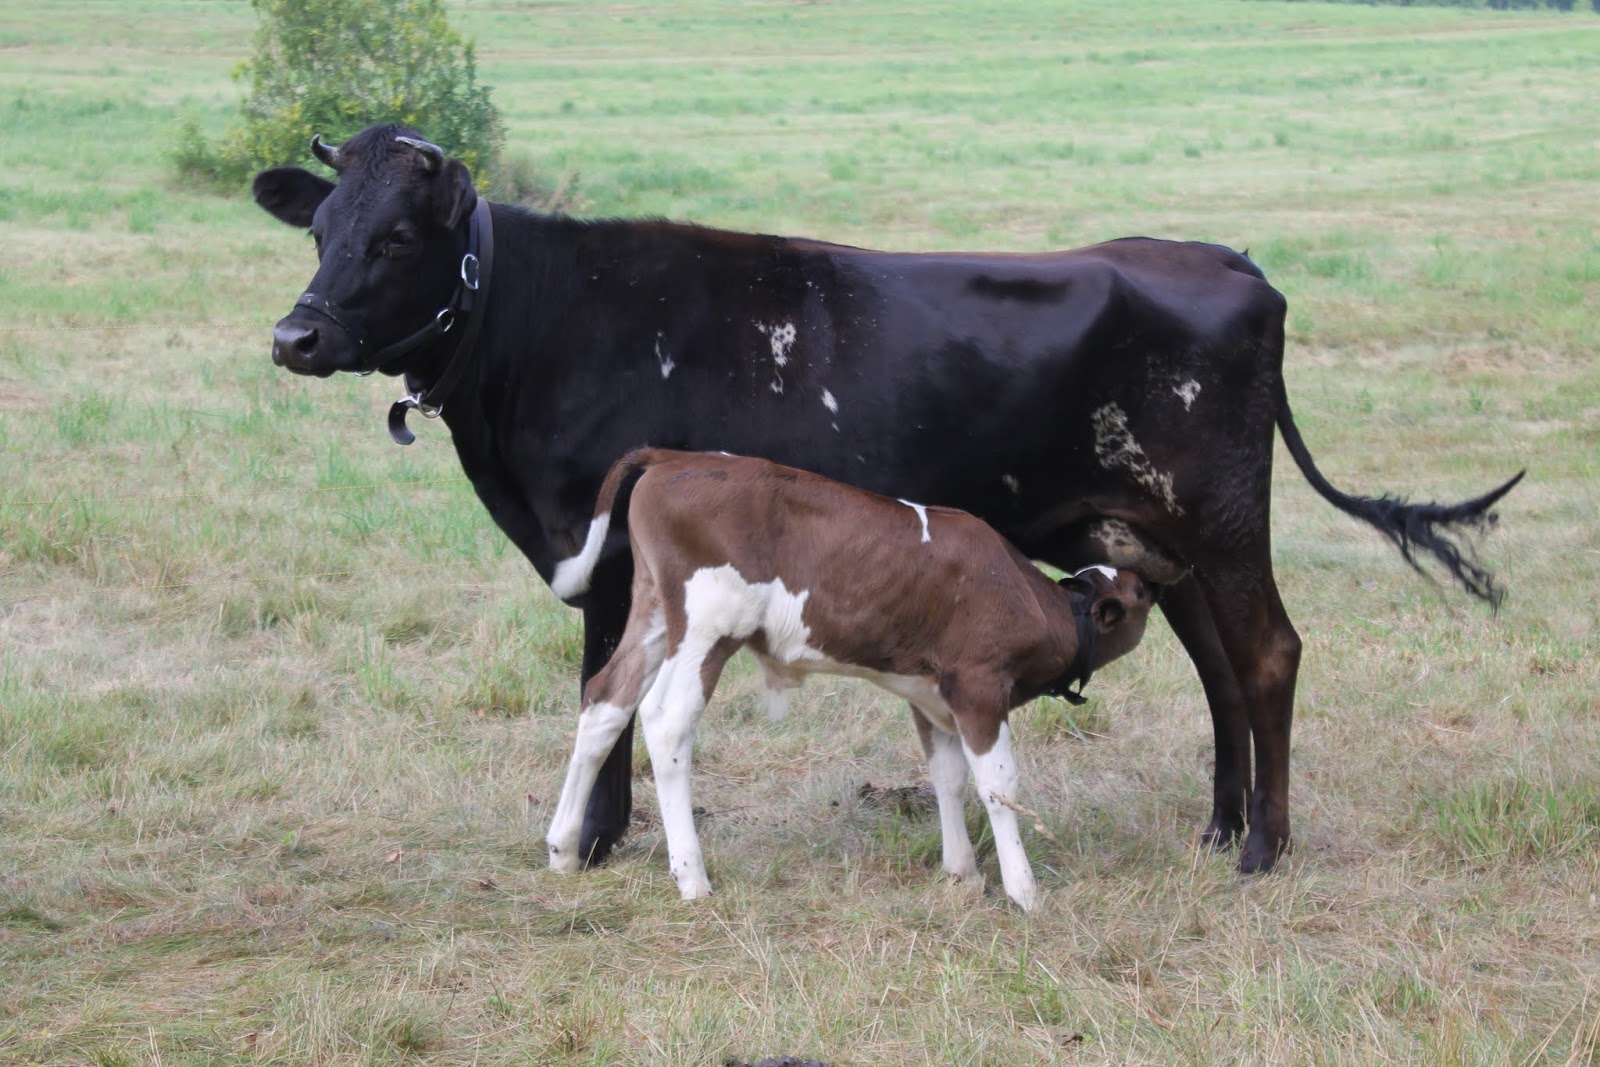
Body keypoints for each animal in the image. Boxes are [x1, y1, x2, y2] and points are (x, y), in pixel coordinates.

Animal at [546, 448, 1162, 910]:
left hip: (653, 609)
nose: (1154, 583)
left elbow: (947, 777)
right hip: (709, 622)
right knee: (666, 720)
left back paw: (564, 849)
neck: (1039, 603)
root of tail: (676, 456)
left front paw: (962, 874)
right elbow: (998, 784)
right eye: (1136, 593)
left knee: (605, 702)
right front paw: (1023, 891)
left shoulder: (931, 694)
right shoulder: (979, 686)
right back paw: (692, 878)